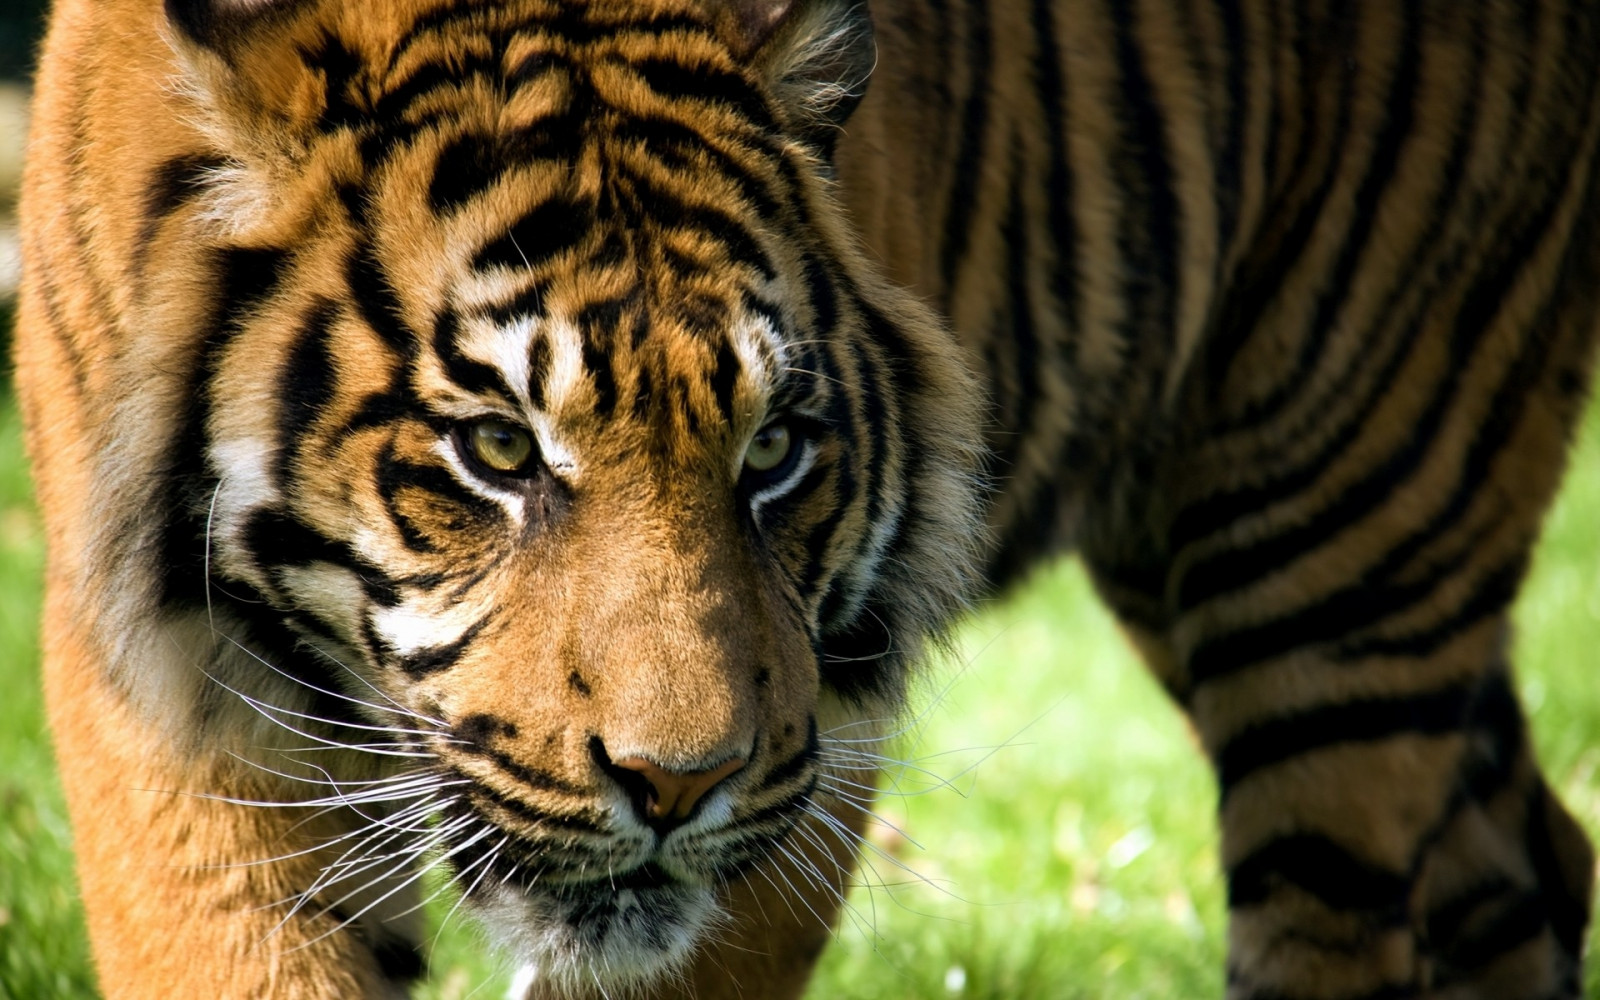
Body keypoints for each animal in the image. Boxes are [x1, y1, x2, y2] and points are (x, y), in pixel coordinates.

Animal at [14, 0, 1600, 995]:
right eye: (502, 452)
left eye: (771, 449)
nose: (678, 785)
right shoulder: (172, 697)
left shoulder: (813, 745)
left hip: (1346, 538)